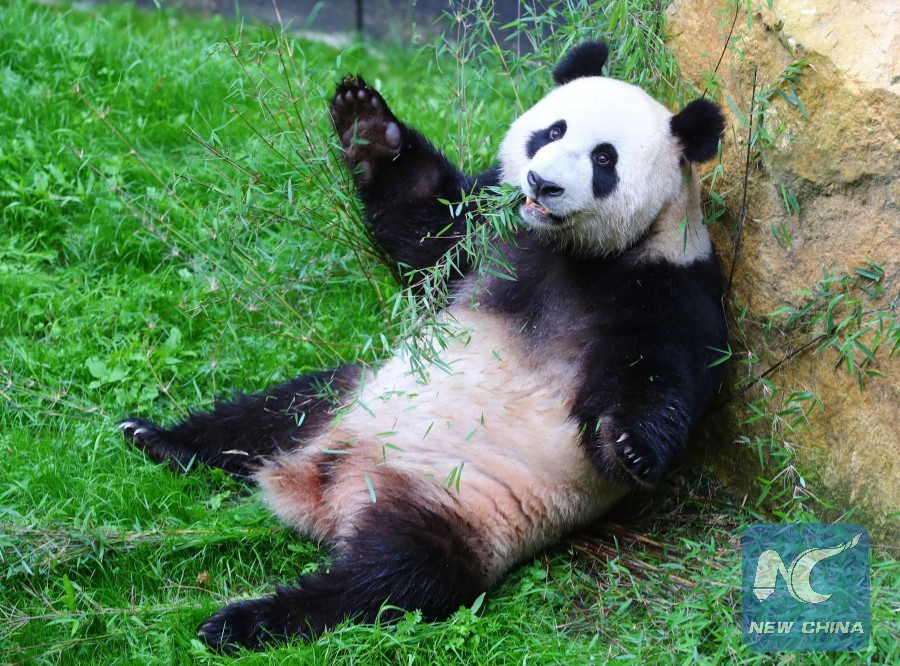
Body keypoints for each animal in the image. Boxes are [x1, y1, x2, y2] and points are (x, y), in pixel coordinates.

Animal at [119, 41, 726, 652]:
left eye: (605, 159)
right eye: (552, 131)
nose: (541, 184)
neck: (569, 249)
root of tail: (324, 493)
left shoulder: (669, 287)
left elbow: (658, 376)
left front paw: (630, 447)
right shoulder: (489, 230)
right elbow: (424, 228)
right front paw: (364, 119)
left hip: (456, 510)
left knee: (389, 580)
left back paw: (245, 621)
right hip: (344, 397)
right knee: (268, 414)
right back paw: (158, 439)